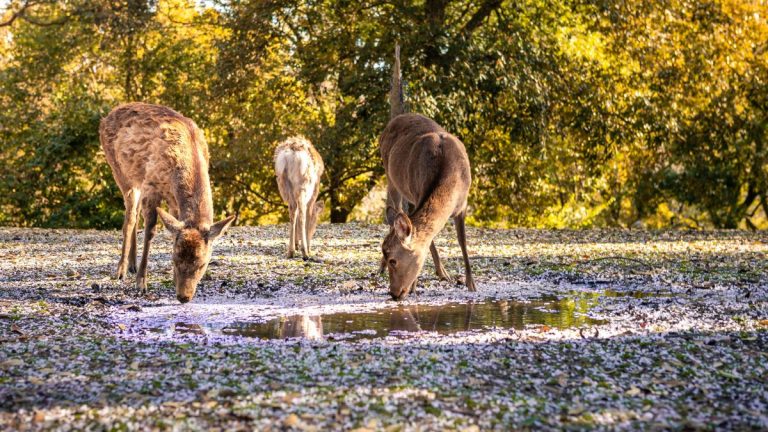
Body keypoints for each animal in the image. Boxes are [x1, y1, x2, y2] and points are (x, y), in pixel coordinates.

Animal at [100, 102, 235, 303]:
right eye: (174, 258)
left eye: (202, 264)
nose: (184, 297)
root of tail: (107, 116)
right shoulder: (151, 185)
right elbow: (150, 232)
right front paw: (141, 283)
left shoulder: (173, 200)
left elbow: (172, 232)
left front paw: (172, 279)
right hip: (120, 172)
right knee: (130, 218)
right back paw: (121, 270)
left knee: (135, 213)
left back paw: (132, 264)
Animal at [379, 45, 476, 300]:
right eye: (386, 255)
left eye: (394, 260)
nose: (394, 293)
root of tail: (395, 117)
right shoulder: (416, 190)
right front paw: (414, 285)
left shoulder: (463, 204)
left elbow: (462, 241)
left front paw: (471, 283)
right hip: (391, 177)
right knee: (391, 210)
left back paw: (443, 273)